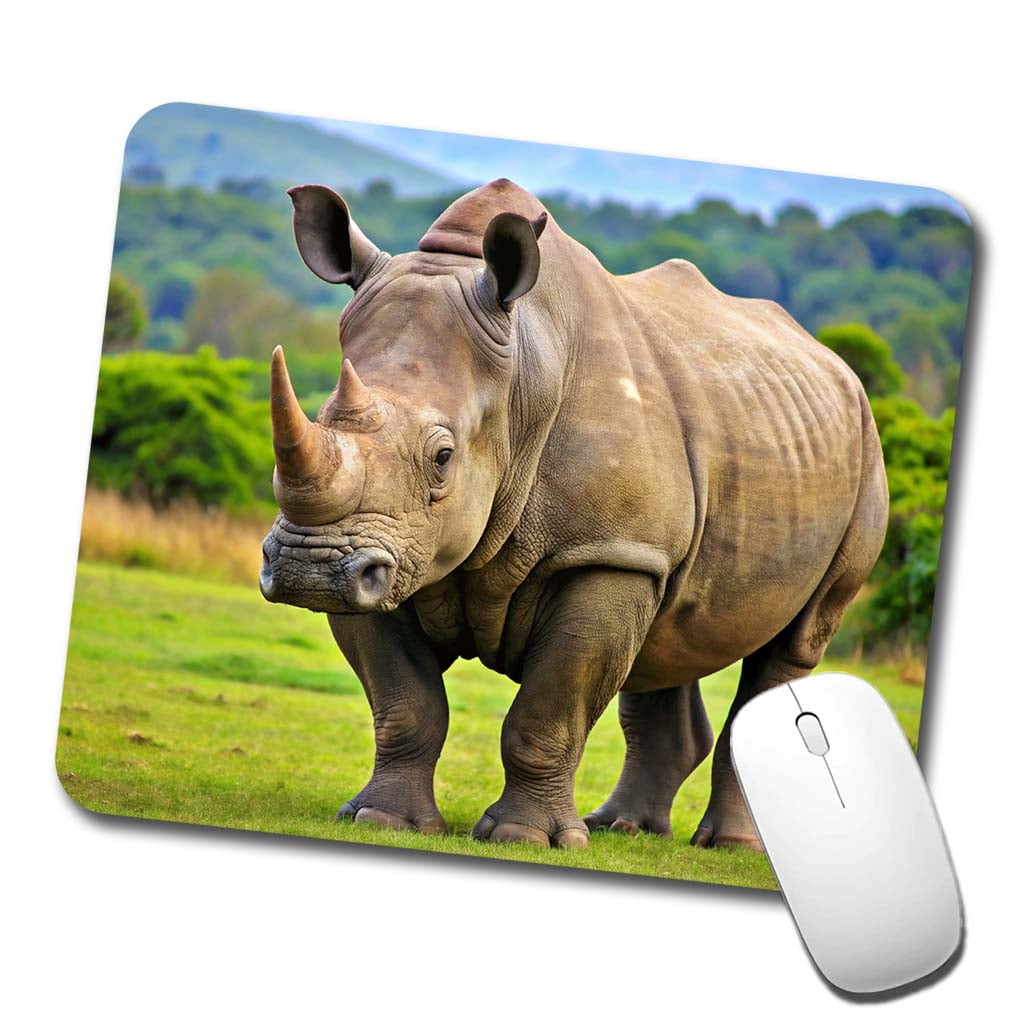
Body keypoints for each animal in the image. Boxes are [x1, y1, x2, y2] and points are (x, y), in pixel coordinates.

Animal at [259, 178, 888, 850]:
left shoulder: (604, 554)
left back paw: (724, 845)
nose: (307, 566)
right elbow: (406, 702)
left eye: (443, 457)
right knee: (666, 638)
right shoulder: (391, 556)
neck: (522, 373)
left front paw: (524, 838)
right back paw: (622, 828)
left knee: (792, 644)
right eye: (321, 416)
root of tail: (837, 366)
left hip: (863, 457)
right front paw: (383, 820)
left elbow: (550, 708)